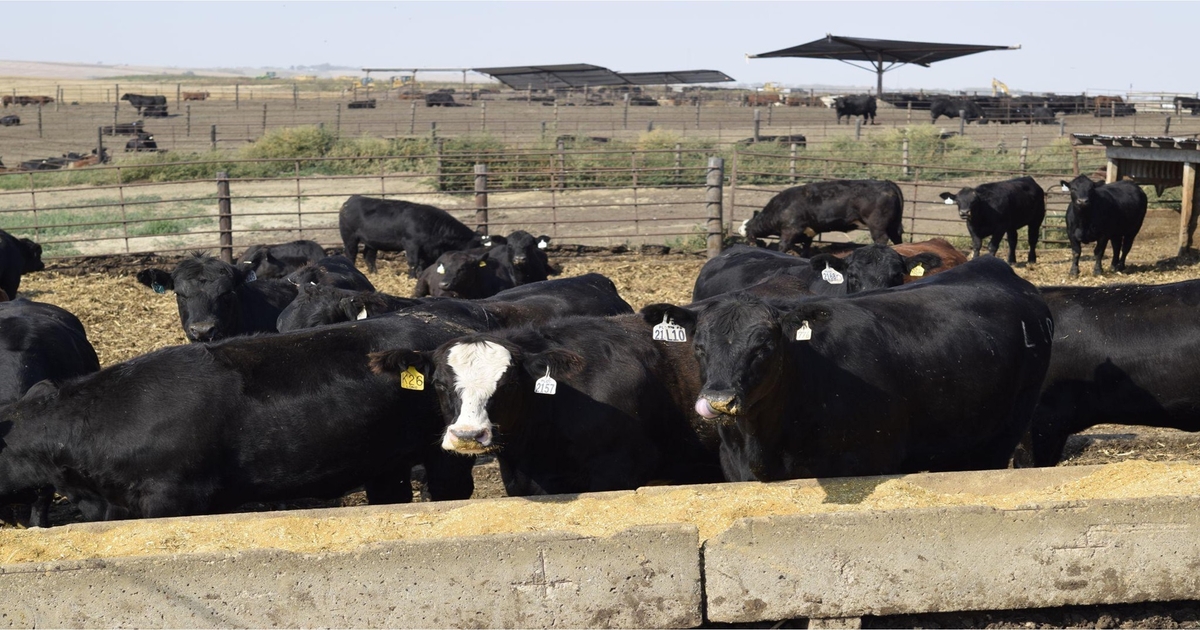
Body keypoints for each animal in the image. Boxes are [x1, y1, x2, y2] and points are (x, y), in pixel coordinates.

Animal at [339, 195, 486, 276]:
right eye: (473, 248)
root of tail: (350, 200)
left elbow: (422, 264)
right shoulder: (411, 244)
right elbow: (413, 263)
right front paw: (411, 277)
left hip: (371, 242)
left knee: (369, 257)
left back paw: (374, 274)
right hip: (349, 237)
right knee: (351, 254)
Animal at [738, 179, 904, 256]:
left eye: (747, 229)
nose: (740, 229)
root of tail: (887, 183)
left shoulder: (790, 230)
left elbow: (783, 246)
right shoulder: (807, 233)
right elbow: (805, 248)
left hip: (877, 224)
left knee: (881, 239)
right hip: (893, 224)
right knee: (897, 238)